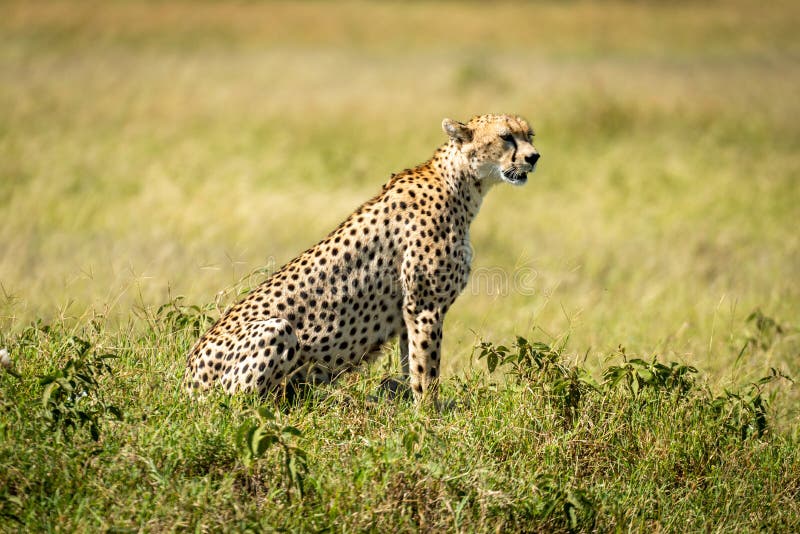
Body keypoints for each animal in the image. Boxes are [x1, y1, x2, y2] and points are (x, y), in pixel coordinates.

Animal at [185, 114, 540, 404]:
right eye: (506, 136)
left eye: (530, 135)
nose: (534, 157)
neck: (462, 184)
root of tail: (185, 381)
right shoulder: (425, 306)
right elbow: (426, 372)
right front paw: (430, 419)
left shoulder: (409, 312)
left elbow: (412, 363)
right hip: (275, 329)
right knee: (239, 405)